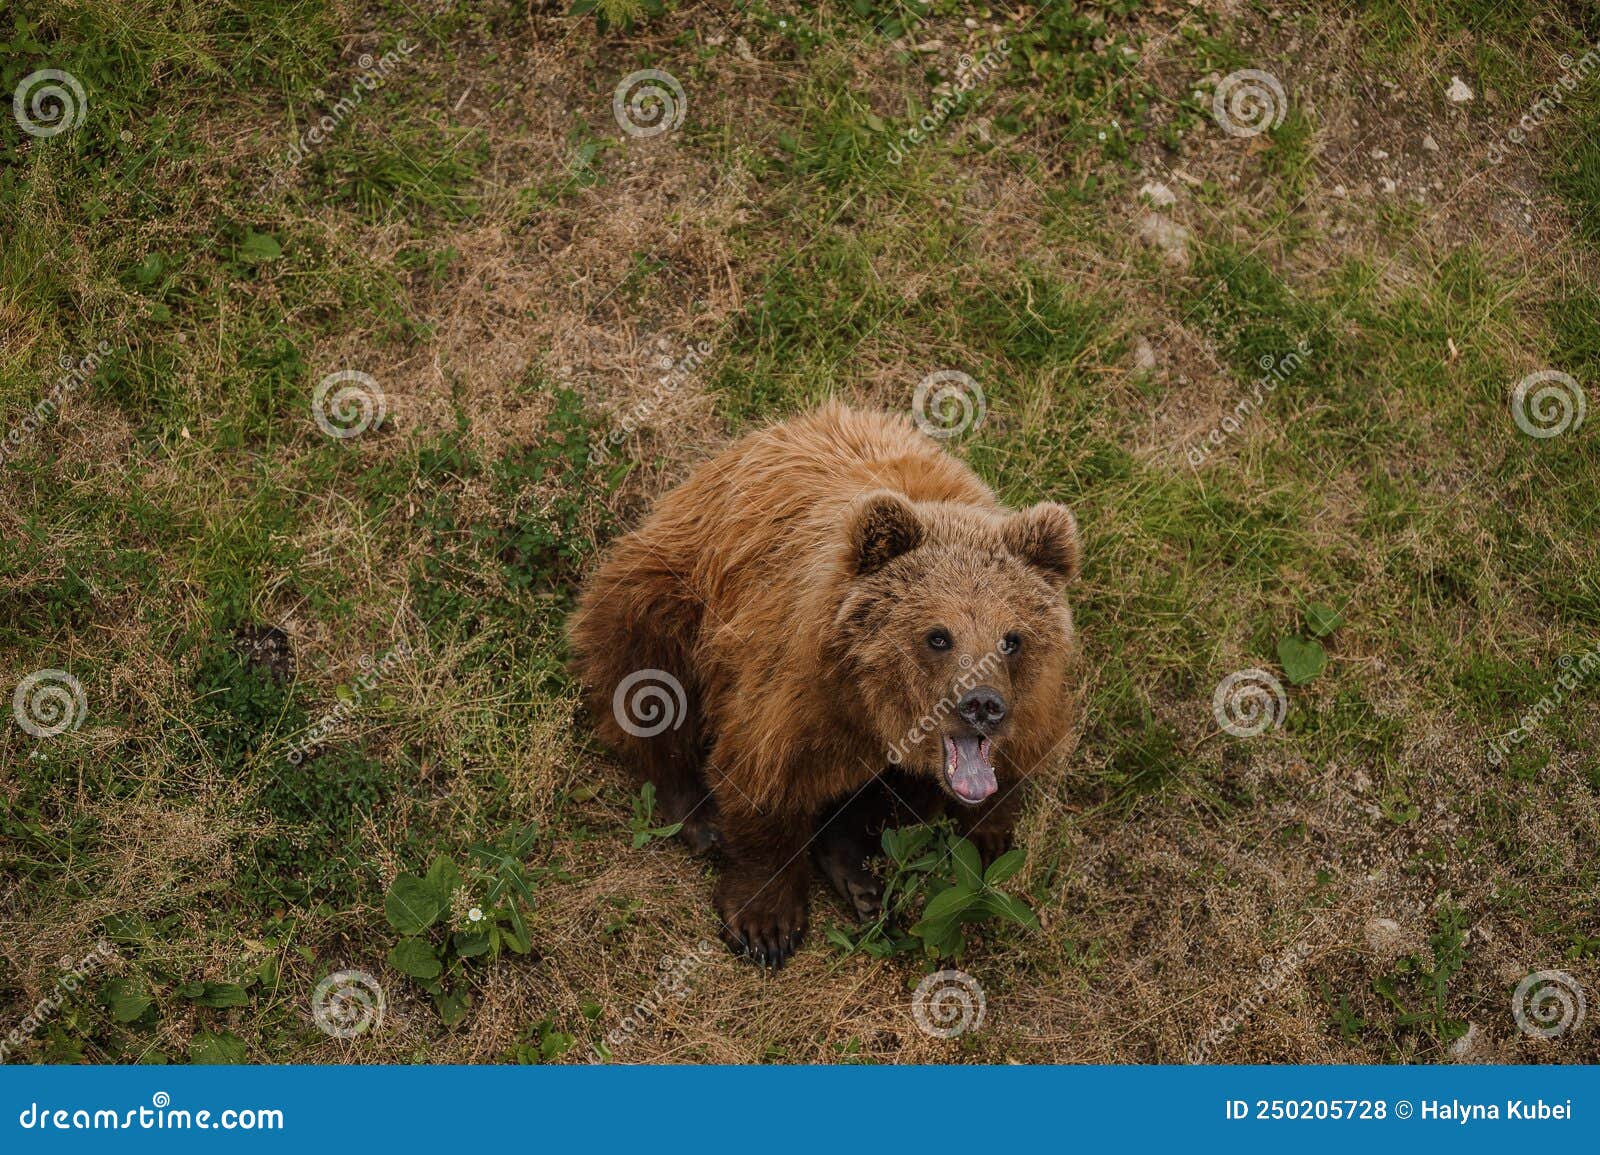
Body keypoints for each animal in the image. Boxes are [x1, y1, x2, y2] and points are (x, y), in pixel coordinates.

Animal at [568, 402, 1082, 967]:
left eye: (1012, 638)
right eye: (938, 636)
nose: (982, 704)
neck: (874, 704)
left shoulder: (1031, 701)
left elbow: (1006, 770)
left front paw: (986, 836)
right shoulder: (798, 677)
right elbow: (765, 776)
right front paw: (765, 922)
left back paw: (858, 877)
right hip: (674, 589)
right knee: (647, 680)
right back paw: (699, 816)